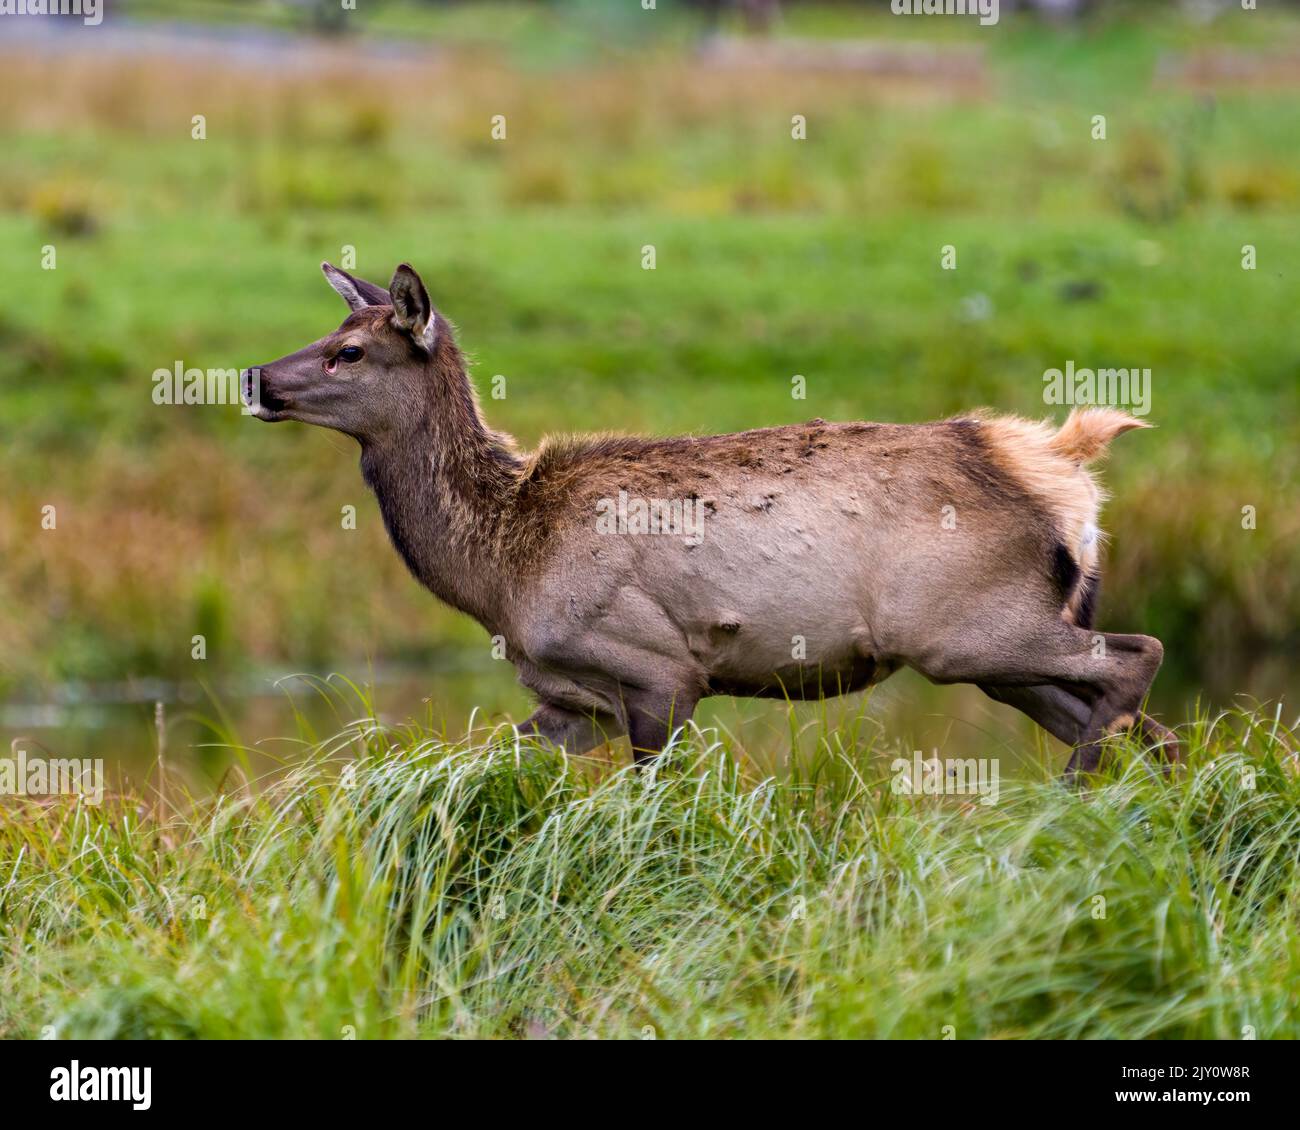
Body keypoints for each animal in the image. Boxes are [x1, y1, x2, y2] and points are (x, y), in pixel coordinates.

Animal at [243, 261, 1180, 781]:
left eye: (350, 350)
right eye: (330, 329)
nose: (254, 376)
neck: (502, 565)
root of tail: (1060, 476)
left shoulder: (656, 664)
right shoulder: (571, 698)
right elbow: (480, 766)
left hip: (967, 628)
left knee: (1142, 653)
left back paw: (1069, 798)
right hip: (996, 648)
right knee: (1148, 724)